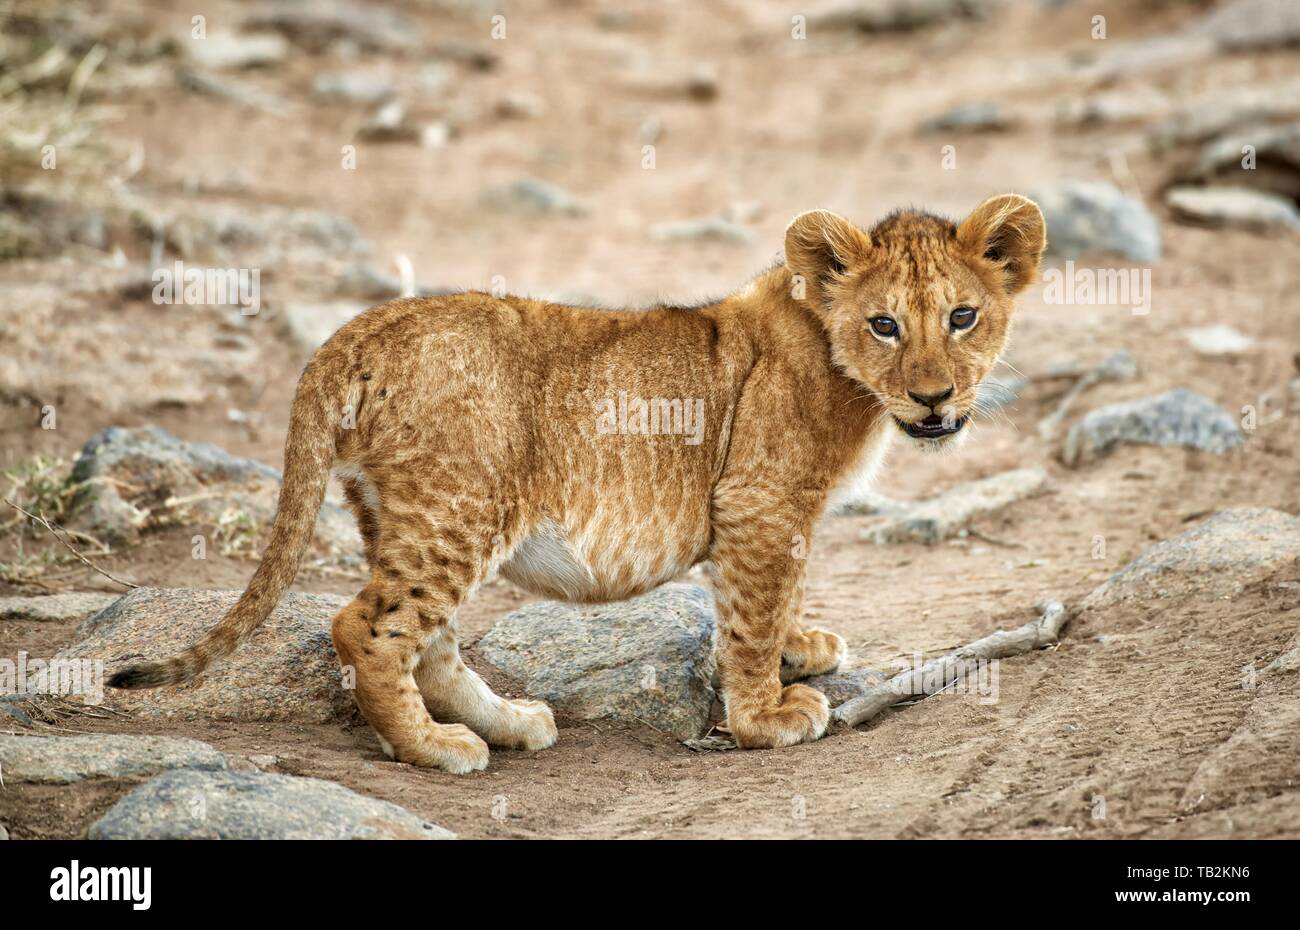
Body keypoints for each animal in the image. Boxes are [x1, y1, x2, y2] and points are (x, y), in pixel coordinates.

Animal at [108, 194, 1047, 773]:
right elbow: (749, 613)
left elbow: (775, 595)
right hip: (459, 508)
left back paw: (507, 724)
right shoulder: (758, 500)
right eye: (884, 325)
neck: (840, 365)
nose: (934, 397)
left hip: (403, 513)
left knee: (430, 641)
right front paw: (766, 716)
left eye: (963, 317)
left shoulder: (774, 515)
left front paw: (800, 647)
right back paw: (435, 749)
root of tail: (358, 330)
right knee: (366, 629)